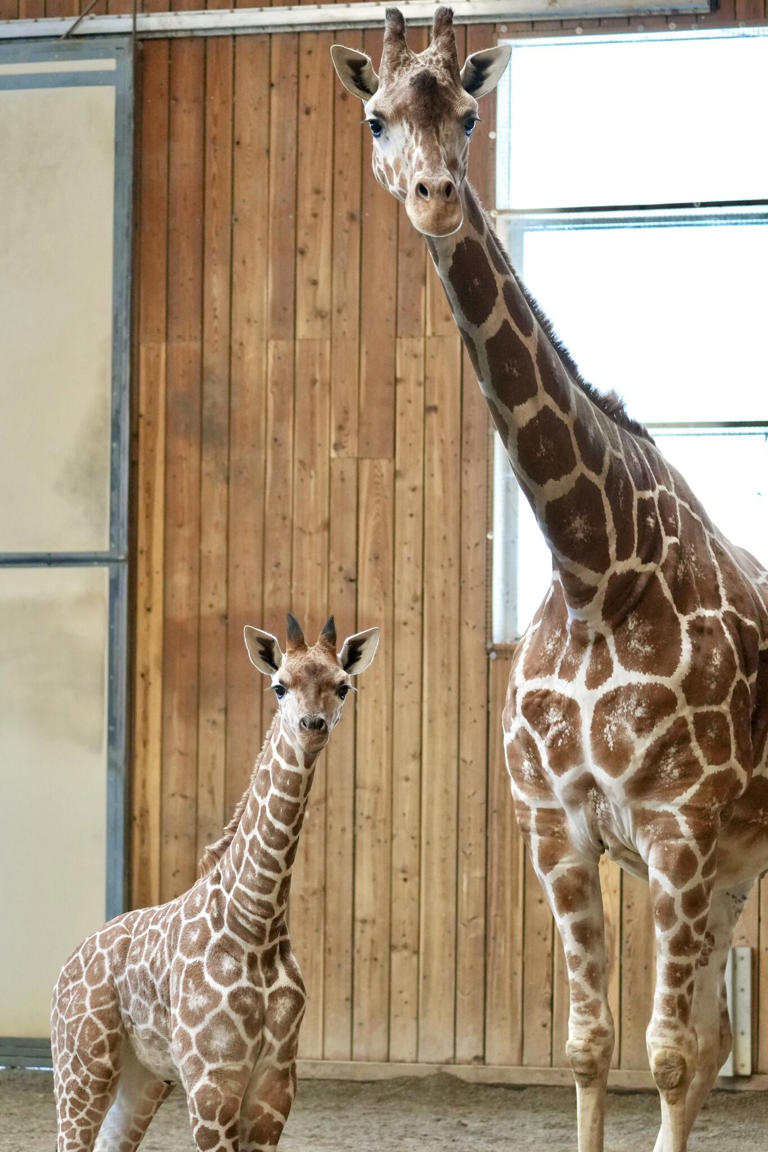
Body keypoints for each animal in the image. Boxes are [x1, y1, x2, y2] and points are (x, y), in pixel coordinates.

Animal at [51, 614, 379, 1152]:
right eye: (279, 685)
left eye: (342, 686)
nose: (313, 726)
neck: (258, 924)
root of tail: (68, 963)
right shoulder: (212, 1082)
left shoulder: (274, 1085)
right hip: (82, 1067)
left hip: (142, 1076)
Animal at [332, 10, 768, 1152]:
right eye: (376, 114)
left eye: (469, 112)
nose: (436, 195)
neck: (596, 572)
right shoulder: (557, 832)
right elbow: (593, 1047)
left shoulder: (677, 829)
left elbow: (667, 1054)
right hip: (737, 860)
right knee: (714, 1039)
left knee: (699, 1045)